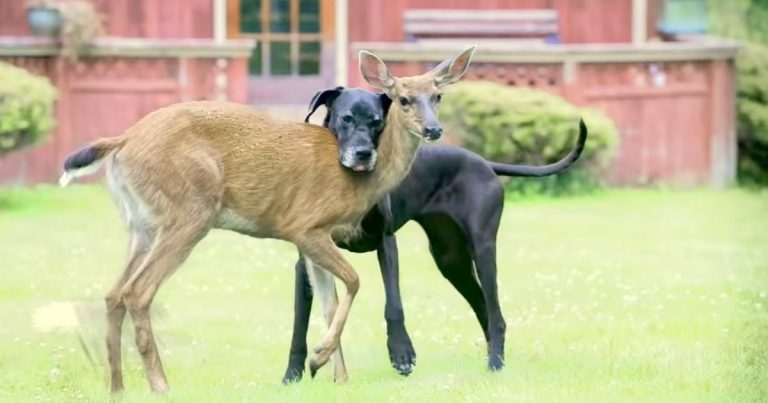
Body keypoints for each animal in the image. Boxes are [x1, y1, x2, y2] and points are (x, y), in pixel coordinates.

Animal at [57, 46, 477, 393]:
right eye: (403, 99)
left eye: (437, 96)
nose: (434, 128)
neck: (360, 182)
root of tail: (123, 141)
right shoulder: (306, 227)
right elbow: (354, 282)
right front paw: (319, 358)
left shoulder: (313, 241)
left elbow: (329, 302)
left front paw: (335, 375)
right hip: (188, 214)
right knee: (137, 292)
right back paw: (161, 386)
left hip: (141, 225)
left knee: (113, 294)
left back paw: (117, 388)